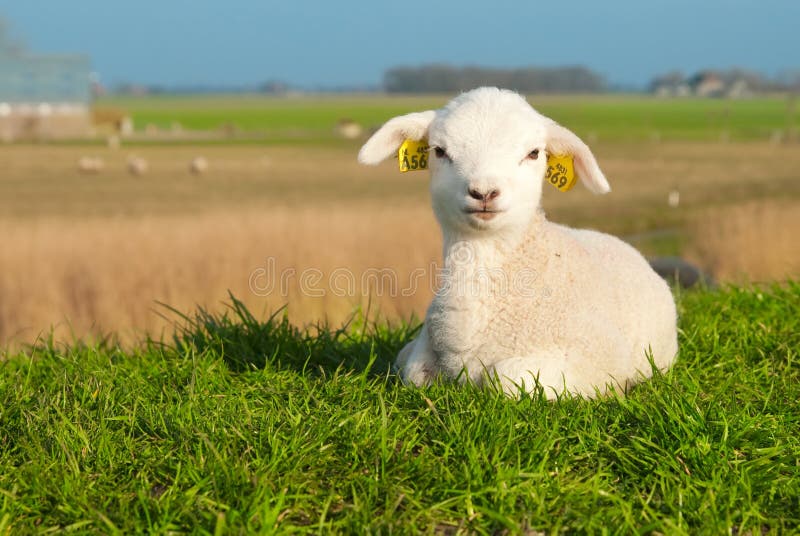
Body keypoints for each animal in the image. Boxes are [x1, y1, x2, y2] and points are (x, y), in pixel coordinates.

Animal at [358, 87, 678, 398]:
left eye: (534, 153)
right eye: (439, 151)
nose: (484, 192)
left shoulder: (599, 356)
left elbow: (503, 379)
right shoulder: (420, 347)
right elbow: (414, 373)